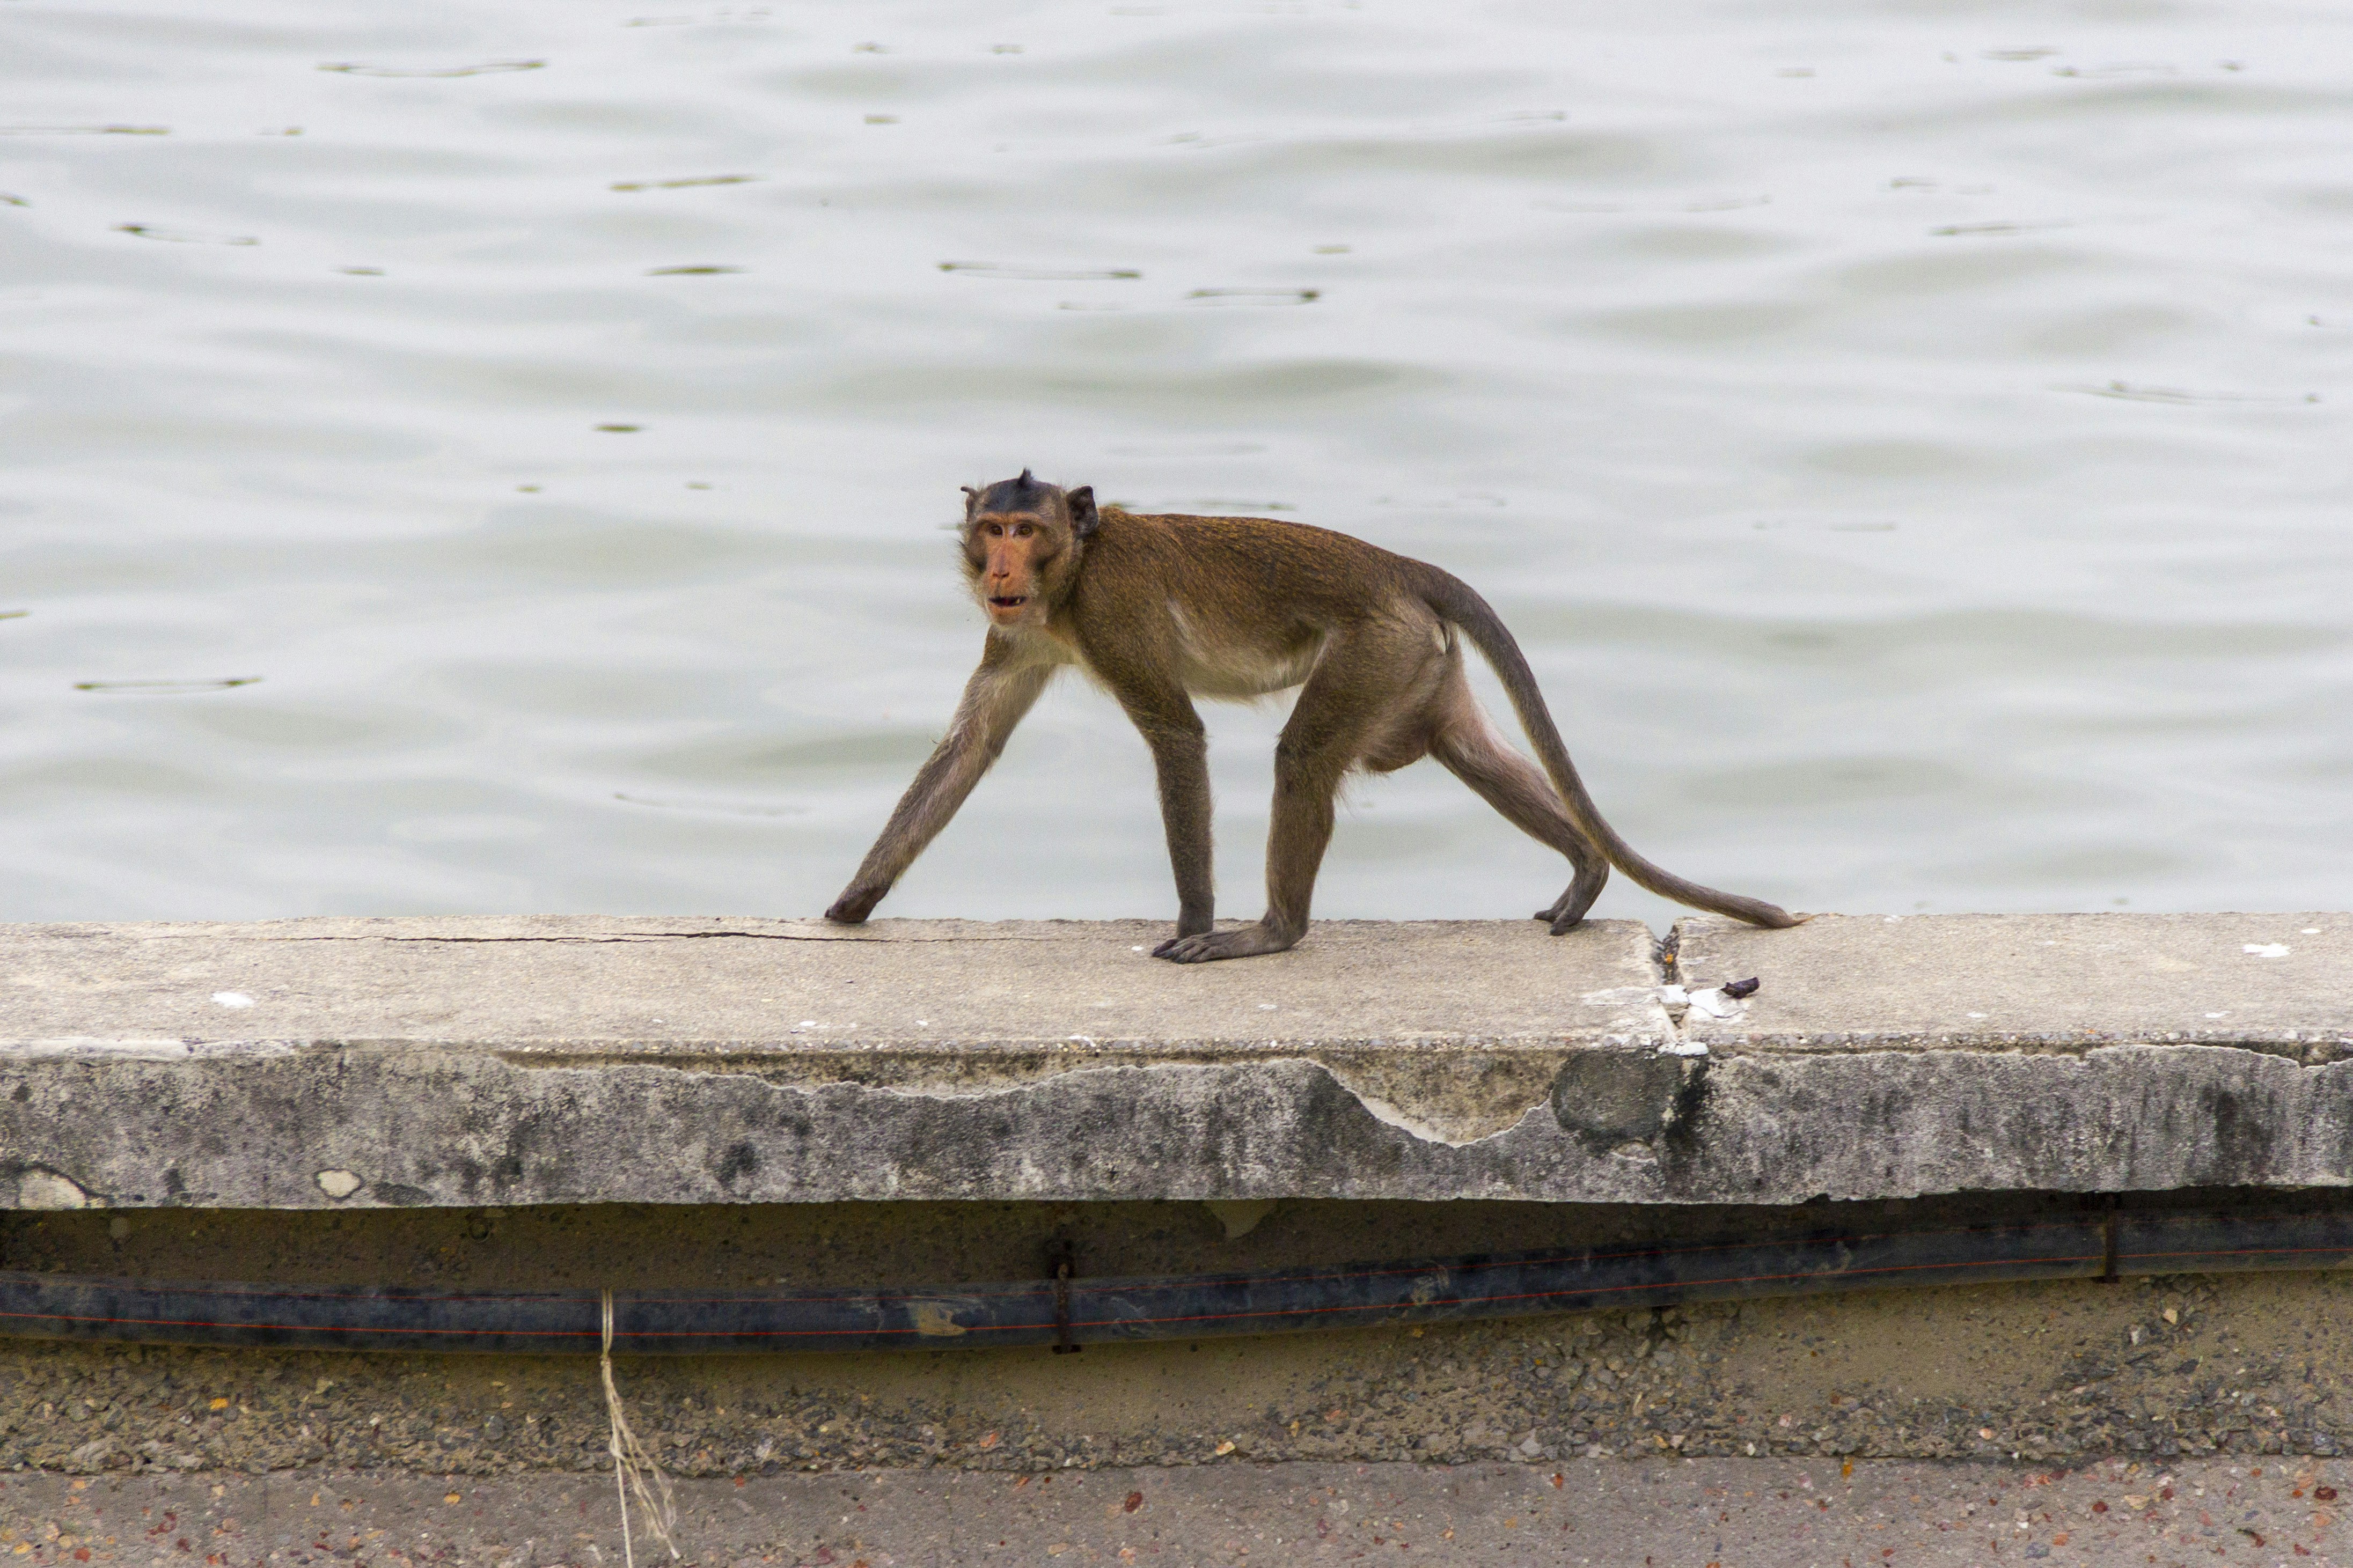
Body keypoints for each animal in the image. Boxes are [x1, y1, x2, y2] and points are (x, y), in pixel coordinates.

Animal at [825, 470, 1800, 962]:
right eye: (991, 527)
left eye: (1024, 531)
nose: (999, 566)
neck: (1074, 570)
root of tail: (1400, 565)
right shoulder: (1024, 631)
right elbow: (972, 744)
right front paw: (854, 901)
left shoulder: (1110, 616)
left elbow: (1177, 735)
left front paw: (1193, 920)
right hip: (1416, 658)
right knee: (1464, 747)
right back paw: (1586, 867)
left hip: (1373, 646)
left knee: (1302, 758)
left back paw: (1272, 932)